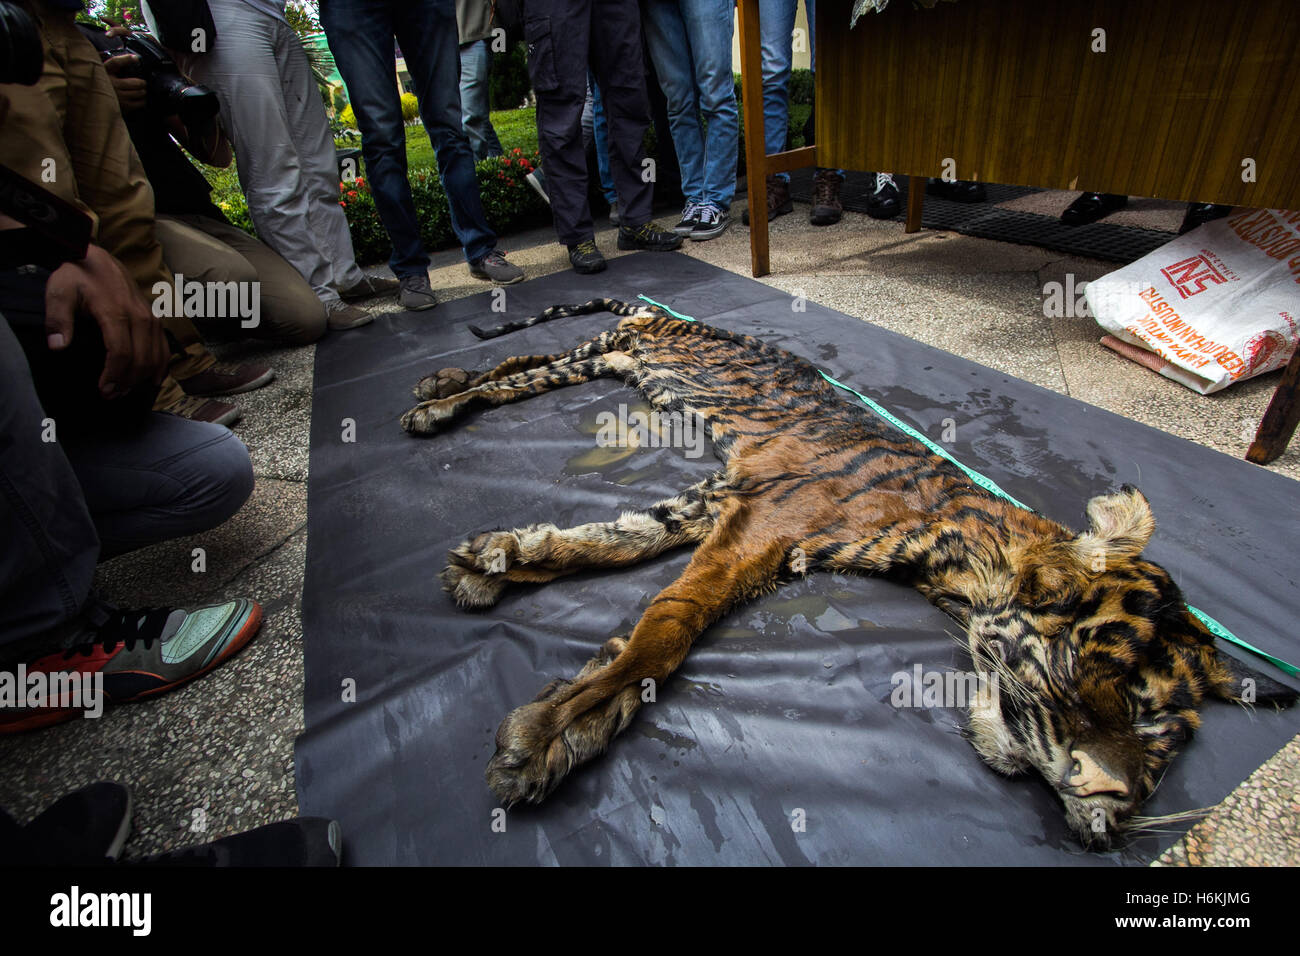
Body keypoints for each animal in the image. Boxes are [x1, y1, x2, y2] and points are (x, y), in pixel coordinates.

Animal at [399, 300, 1296, 849]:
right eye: (1096, 684)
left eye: (1162, 731)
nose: (1116, 806)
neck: (957, 543)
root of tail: (668, 313)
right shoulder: (758, 527)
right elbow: (664, 629)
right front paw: (556, 734)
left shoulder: (720, 505)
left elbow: (616, 540)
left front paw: (500, 559)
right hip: (614, 350)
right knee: (524, 362)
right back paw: (439, 396)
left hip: (619, 357)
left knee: (538, 356)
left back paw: (440, 387)